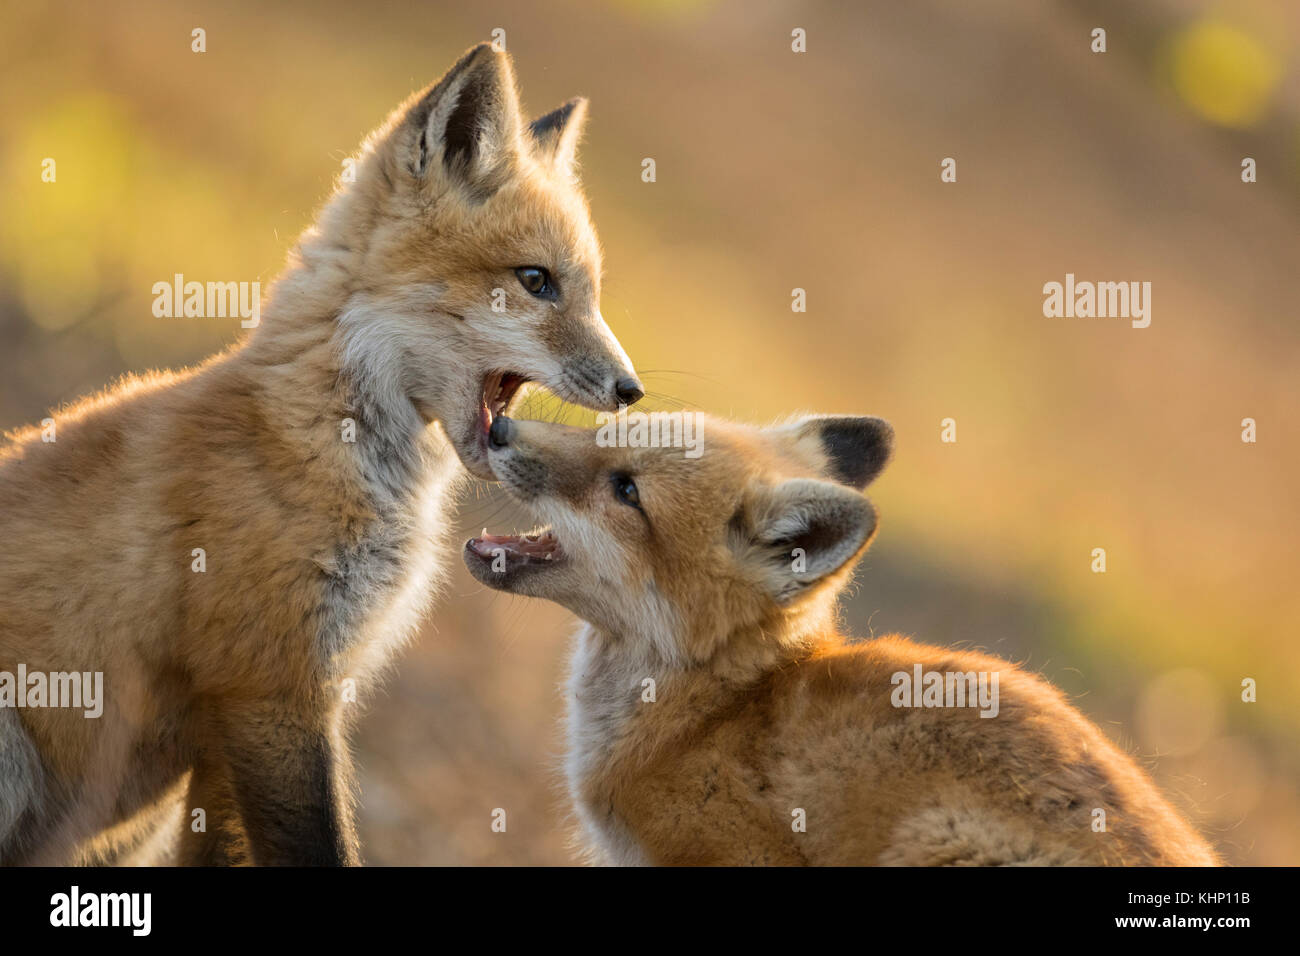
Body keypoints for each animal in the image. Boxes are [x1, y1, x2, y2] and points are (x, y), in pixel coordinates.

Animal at [0, 43, 641, 866]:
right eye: (536, 281)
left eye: (589, 292)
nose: (633, 389)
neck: (317, 439)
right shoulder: (272, 692)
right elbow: (322, 844)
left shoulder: (245, 724)